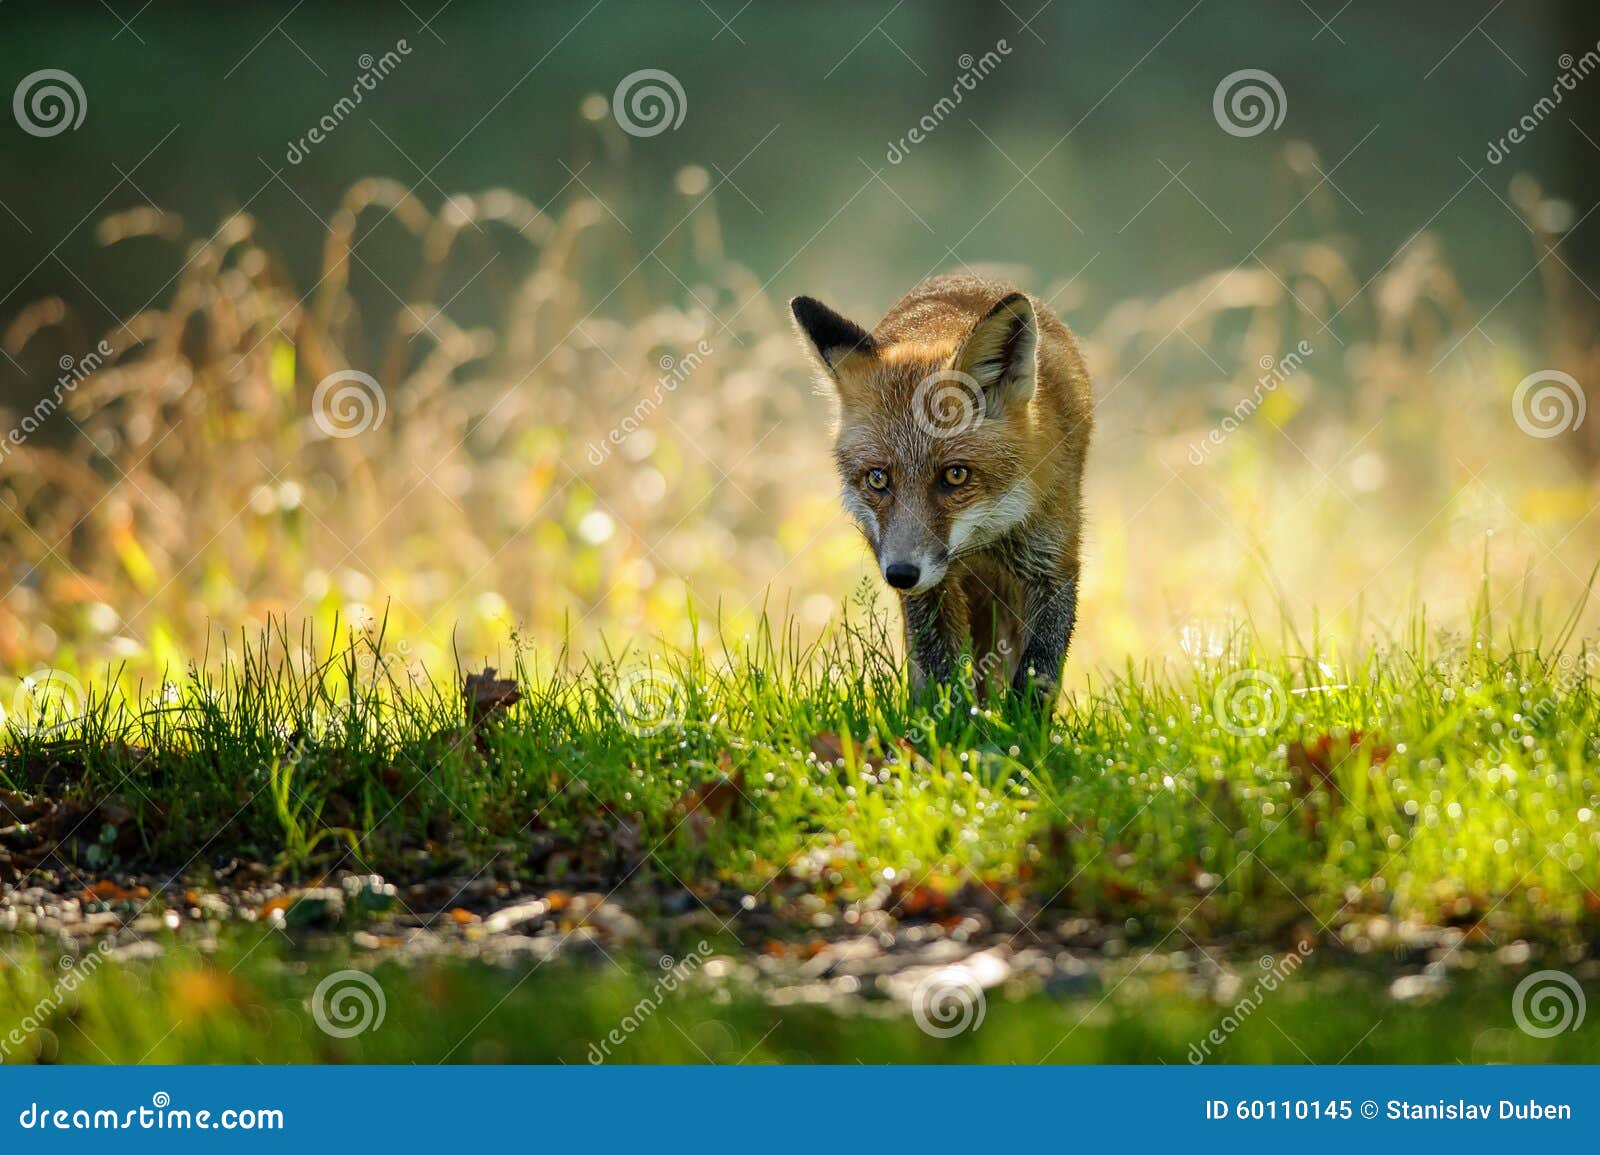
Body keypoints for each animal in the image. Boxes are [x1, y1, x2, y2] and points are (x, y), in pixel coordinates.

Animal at [790, 273, 1092, 708]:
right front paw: (953, 722)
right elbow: (941, 671)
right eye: (877, 479)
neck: (983, 541)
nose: (901, 575)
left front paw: (1024, 726)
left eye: (955, 475)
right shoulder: (928, 587)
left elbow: (1038, 674)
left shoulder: (1050, 563)